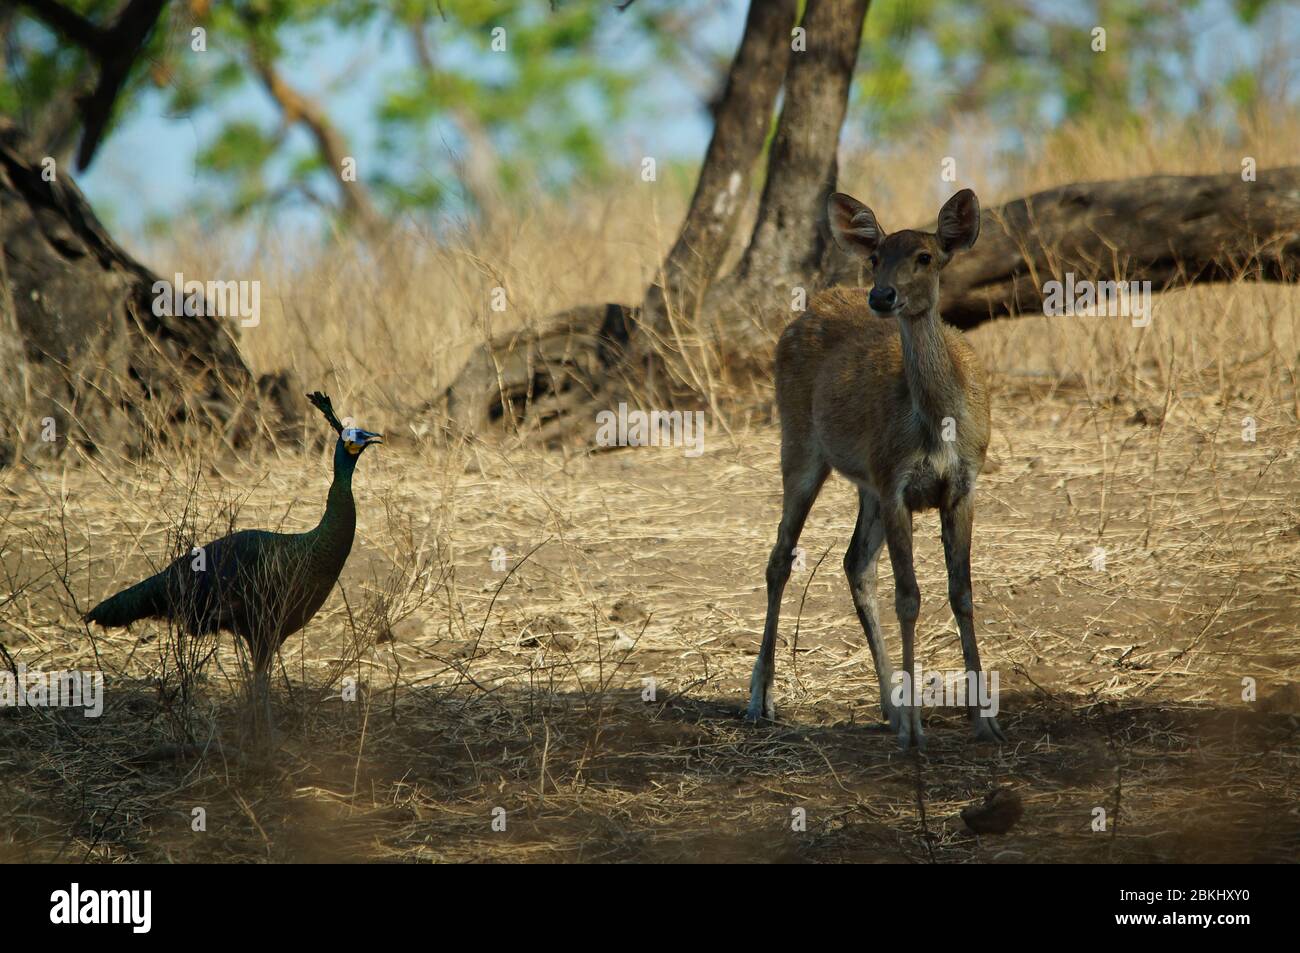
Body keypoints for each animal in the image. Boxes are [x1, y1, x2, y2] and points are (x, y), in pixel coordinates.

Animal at [746, 188, 1004, 750]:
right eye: (876, 256)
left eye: (925, 256)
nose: (882, 296)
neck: (936, 423)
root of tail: (802, 315)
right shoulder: (895, 484)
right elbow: (909, 596)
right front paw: (916, 732)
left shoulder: (962, 486)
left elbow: (962, 593)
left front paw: (986, 721)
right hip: (800, 446)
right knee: (779, 557)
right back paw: (759, 700)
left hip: (863, 484)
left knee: (854, 562)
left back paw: (889, 705)